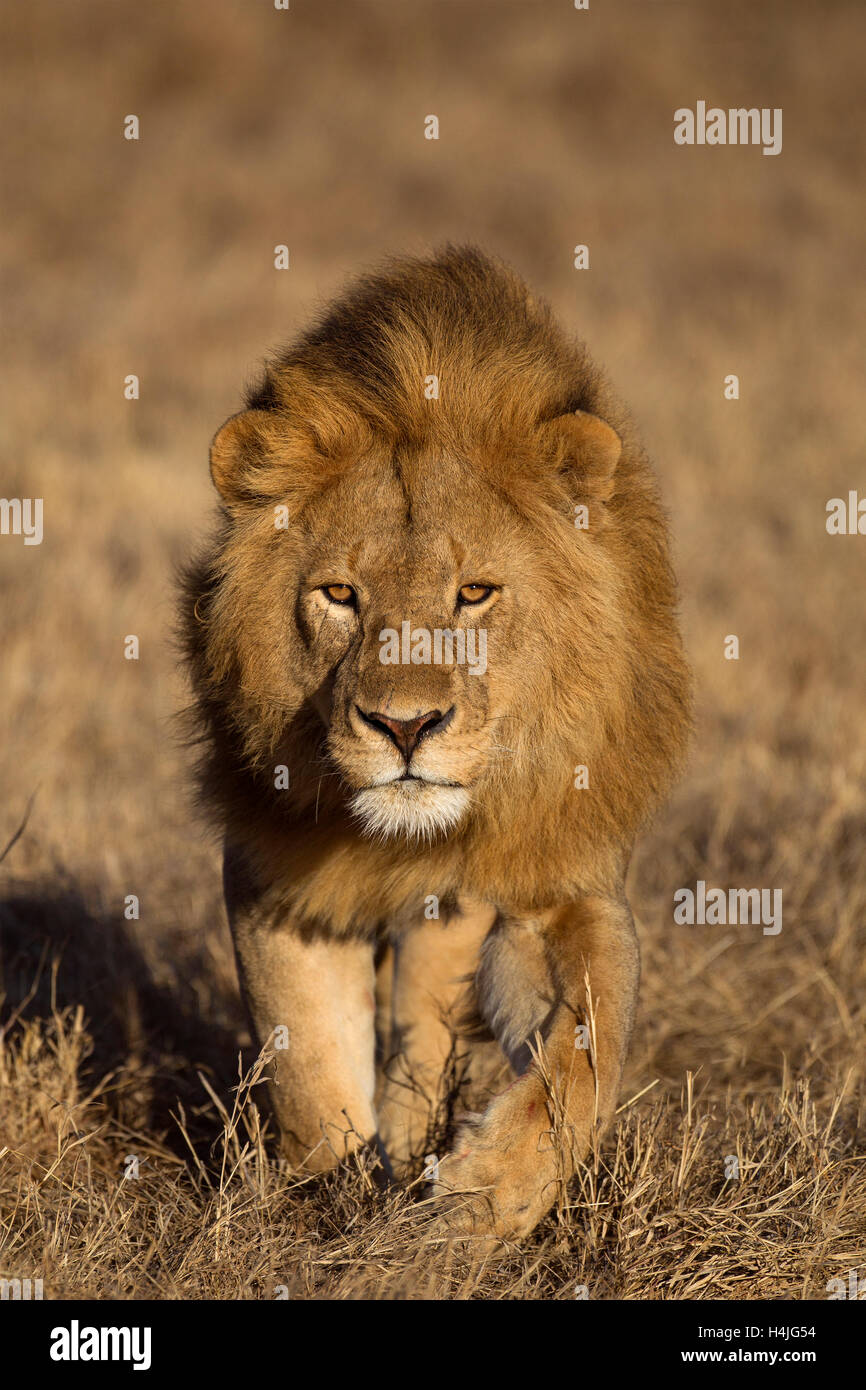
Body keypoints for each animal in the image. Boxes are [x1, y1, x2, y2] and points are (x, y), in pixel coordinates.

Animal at [181, 245, 691, 1240]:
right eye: (341, 596)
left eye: (475, 593)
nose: (406, 727)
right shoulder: (276, 864)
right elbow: (305, 1054)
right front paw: (329, 1198)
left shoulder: (557, 876)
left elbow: (592, 1044)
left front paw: (484, 1195)